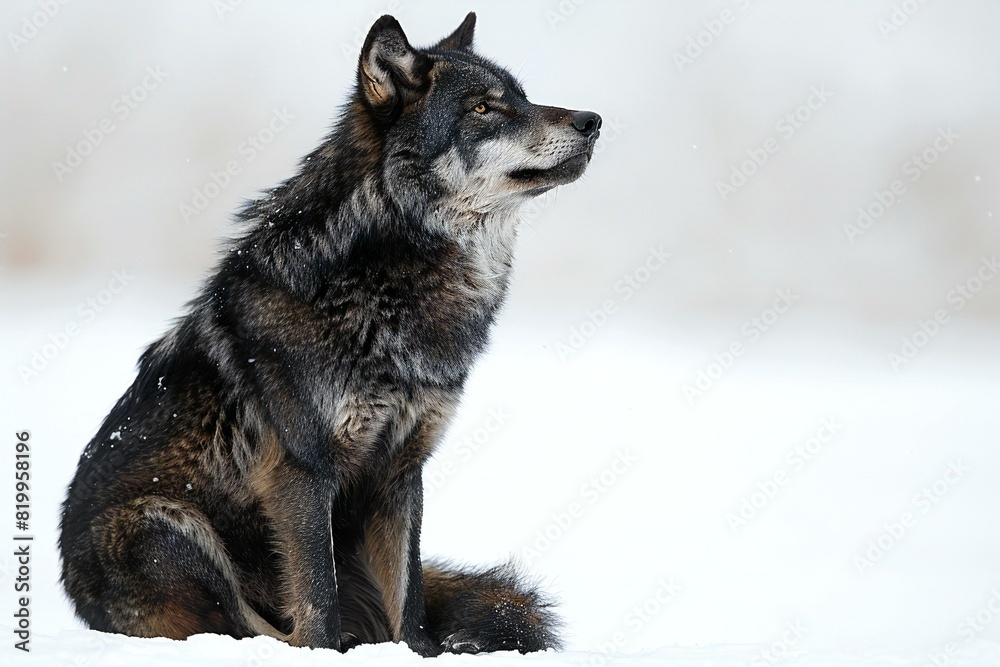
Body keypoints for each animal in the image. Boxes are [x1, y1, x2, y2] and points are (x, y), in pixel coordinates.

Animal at [59, 12, 600, 656]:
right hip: (164, 526)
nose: (592, 121)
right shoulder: (301, 470)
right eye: (483, 109)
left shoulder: (402, 471)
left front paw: (418, 655)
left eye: (521, 98)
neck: (386, 281)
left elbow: (409, 602)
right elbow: (317, 599)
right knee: (257, 628)